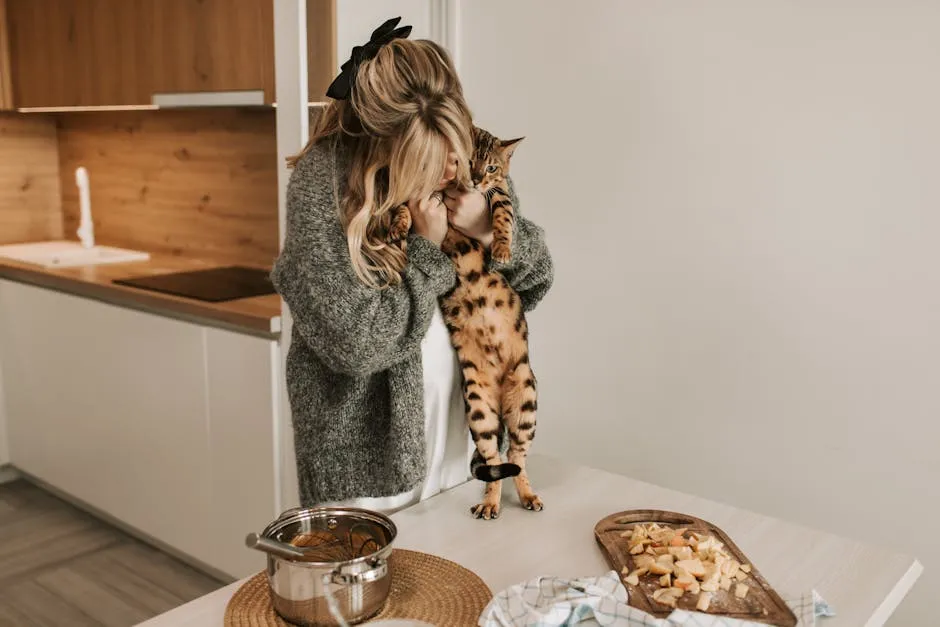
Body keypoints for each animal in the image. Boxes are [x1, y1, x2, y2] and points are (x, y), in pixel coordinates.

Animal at [386, 127, 540, 520]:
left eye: (492, 166)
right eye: (466, 159)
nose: (476, 178)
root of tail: (500, 399)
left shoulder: (497, 194)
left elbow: (503, 216)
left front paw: (502, 248)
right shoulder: (416, 197)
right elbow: (401, 208)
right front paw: (398, 227)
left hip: (526, 402)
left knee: (518, 458)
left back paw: (528, 495)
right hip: (479, 406)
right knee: (495, 461)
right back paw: (490, 503)